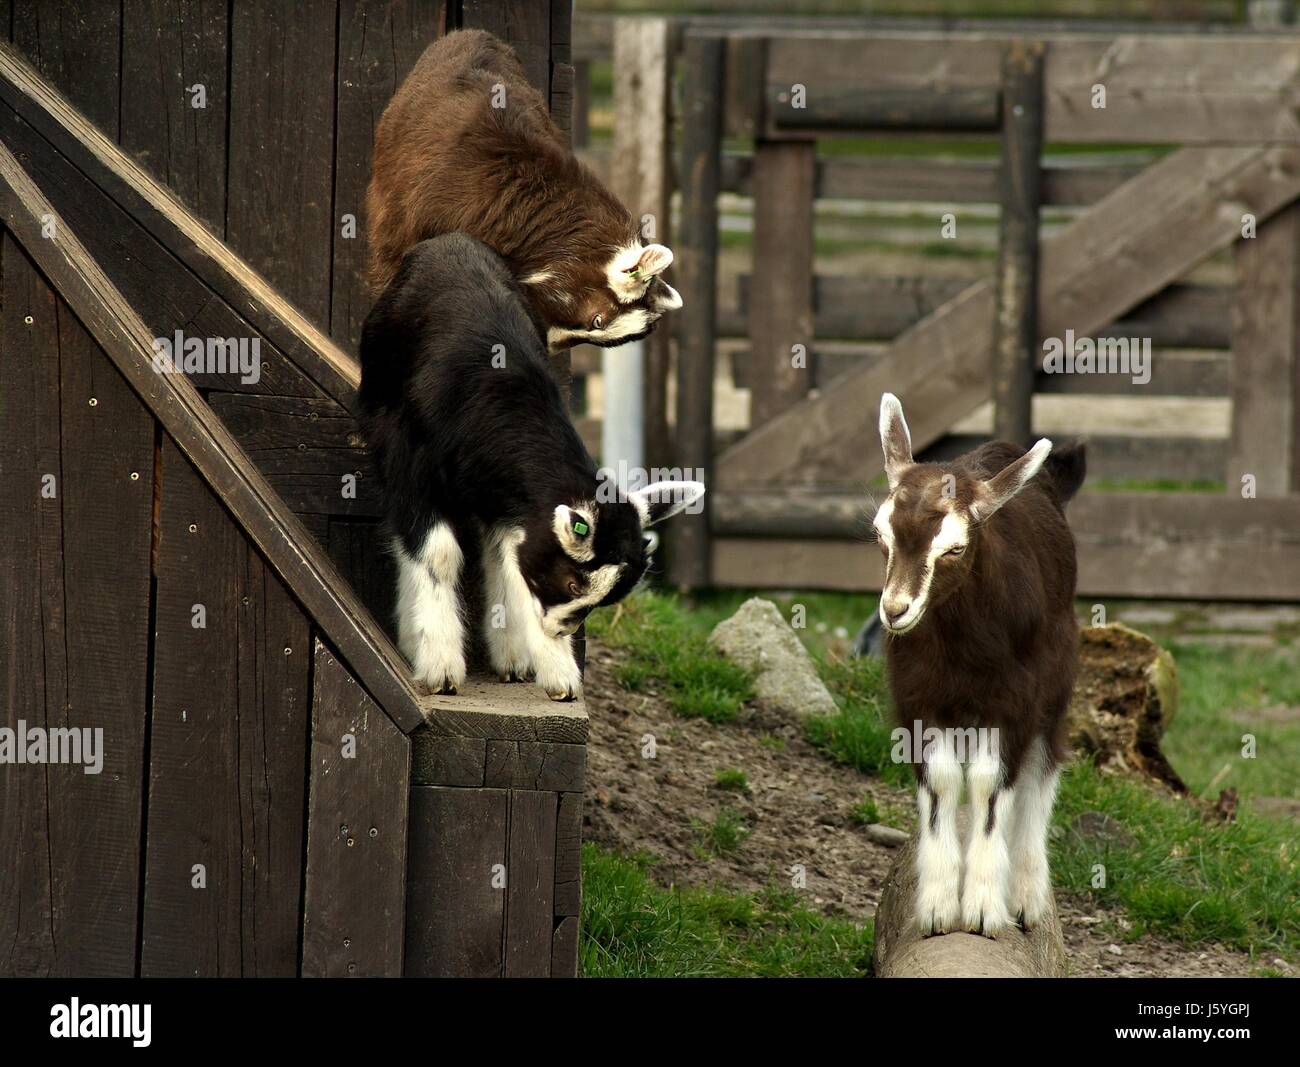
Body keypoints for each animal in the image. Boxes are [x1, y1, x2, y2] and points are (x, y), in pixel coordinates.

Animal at [359, 232, 703, 702]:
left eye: (602, 601)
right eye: (574, 583)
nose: (558, 630)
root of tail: (453, 240)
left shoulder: (510, 502)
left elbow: (509, 562)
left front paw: (545, 669)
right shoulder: (409, 463)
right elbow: (439, 554)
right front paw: (440, 666)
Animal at [873, 393, 1086, 936]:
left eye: (955, 547)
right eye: (881, 535)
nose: (896, 610)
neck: (963, 650)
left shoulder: (1015, 701)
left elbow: (992, 784)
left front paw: (986, 908)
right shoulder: (918, 698)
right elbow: (943, 781)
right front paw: (936, 907)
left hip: (1057, 682)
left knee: (1042, 768)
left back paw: (1028, 896)